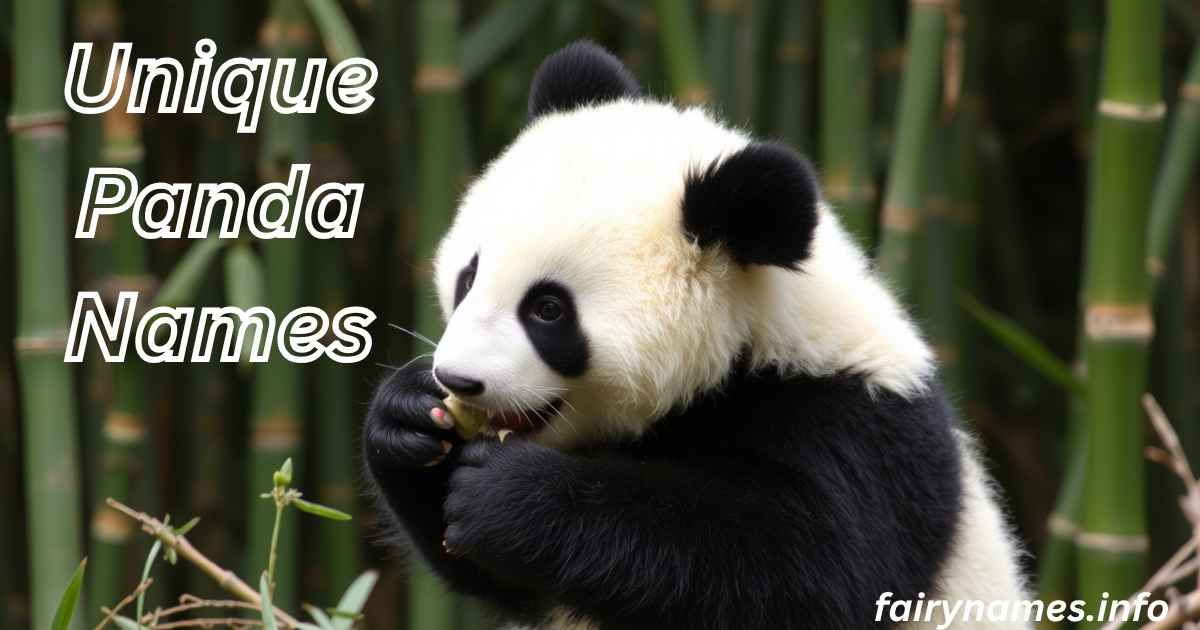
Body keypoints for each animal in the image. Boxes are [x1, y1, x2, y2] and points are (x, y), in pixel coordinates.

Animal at [363, 41, 1029, 630]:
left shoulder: (857, 433)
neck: (752, 346)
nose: (458, 378)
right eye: (468, 276)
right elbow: (499, 576)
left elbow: (804, 570)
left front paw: (513, 495)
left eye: (548, 310)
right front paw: (407, 414)